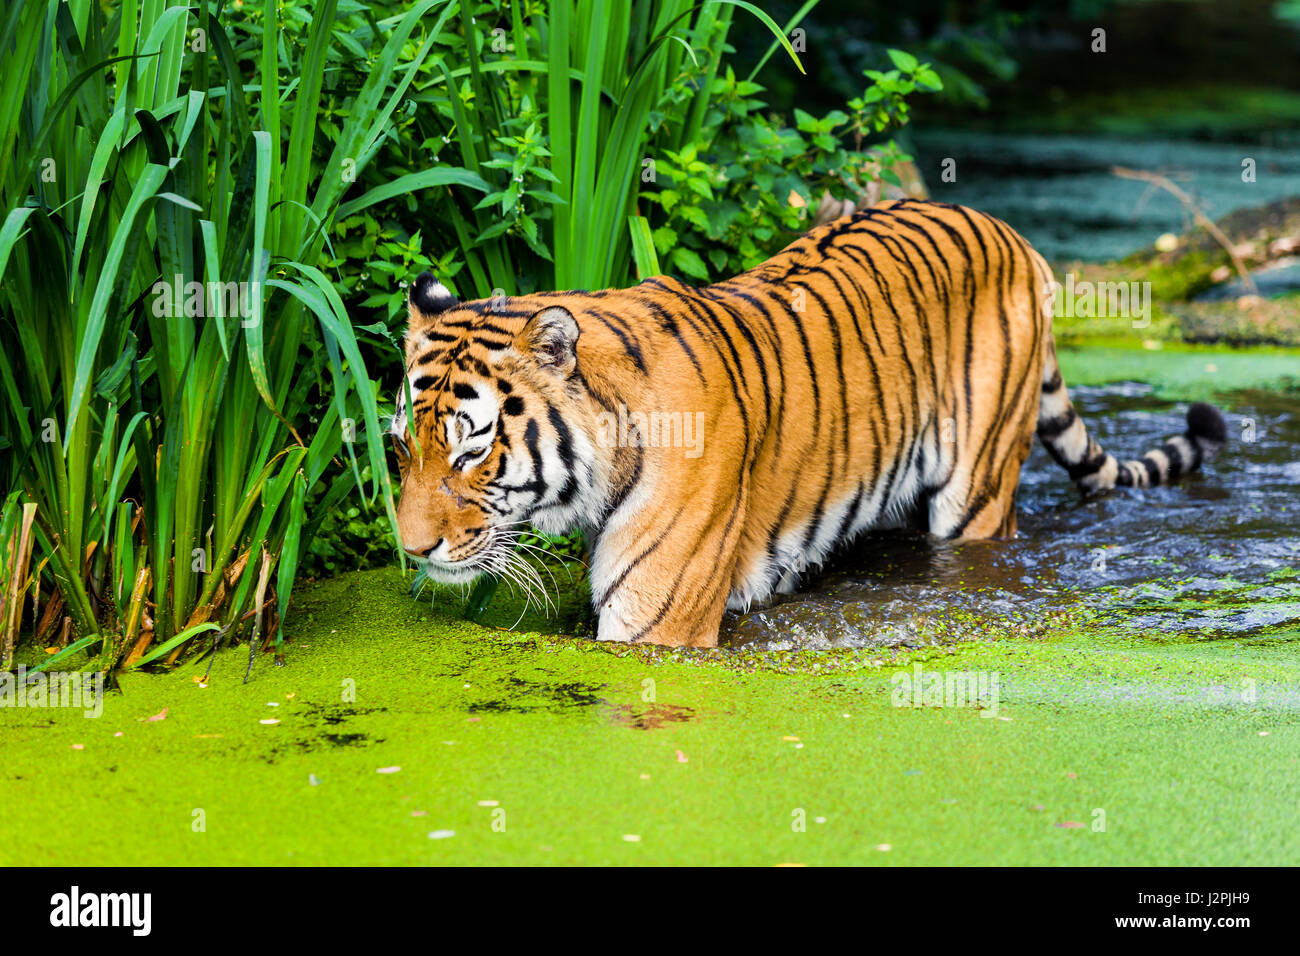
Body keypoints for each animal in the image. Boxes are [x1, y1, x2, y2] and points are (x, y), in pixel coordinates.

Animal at [390, 198, 1227, 648]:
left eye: (471, 451)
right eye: (402, 447)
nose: (412, 549)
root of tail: (1006, 229)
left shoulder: (657, 626)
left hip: (978, 491)